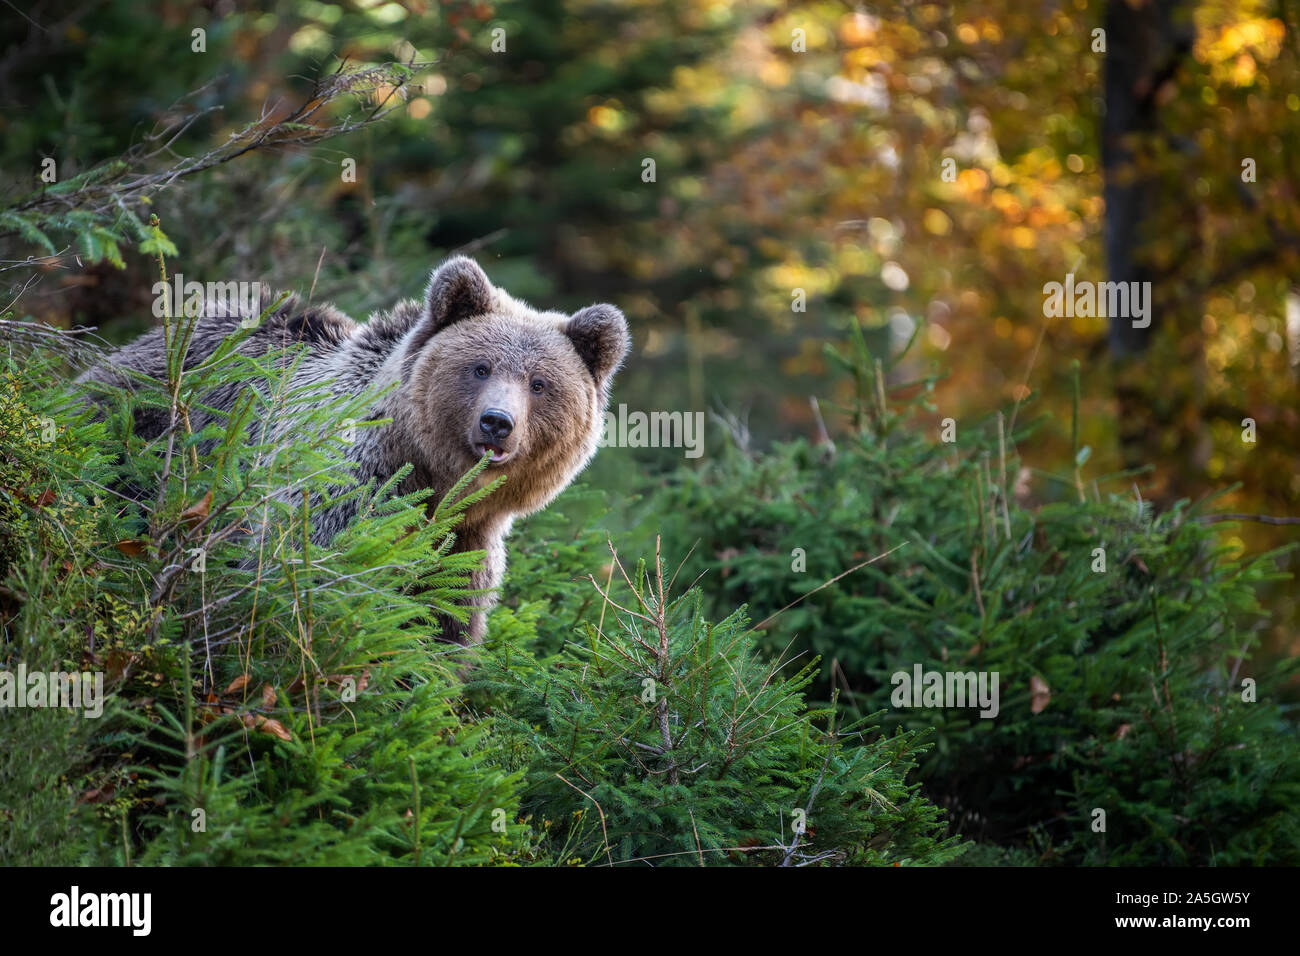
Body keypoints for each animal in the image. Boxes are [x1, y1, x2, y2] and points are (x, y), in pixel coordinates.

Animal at [77, 256, 629, 645]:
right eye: (480, 367)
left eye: (539, 384)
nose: (497, 423)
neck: (428, 480)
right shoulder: (344, 496)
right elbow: (310, 588)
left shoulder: (462, 544)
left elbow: (439, 625)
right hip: (137, 434)